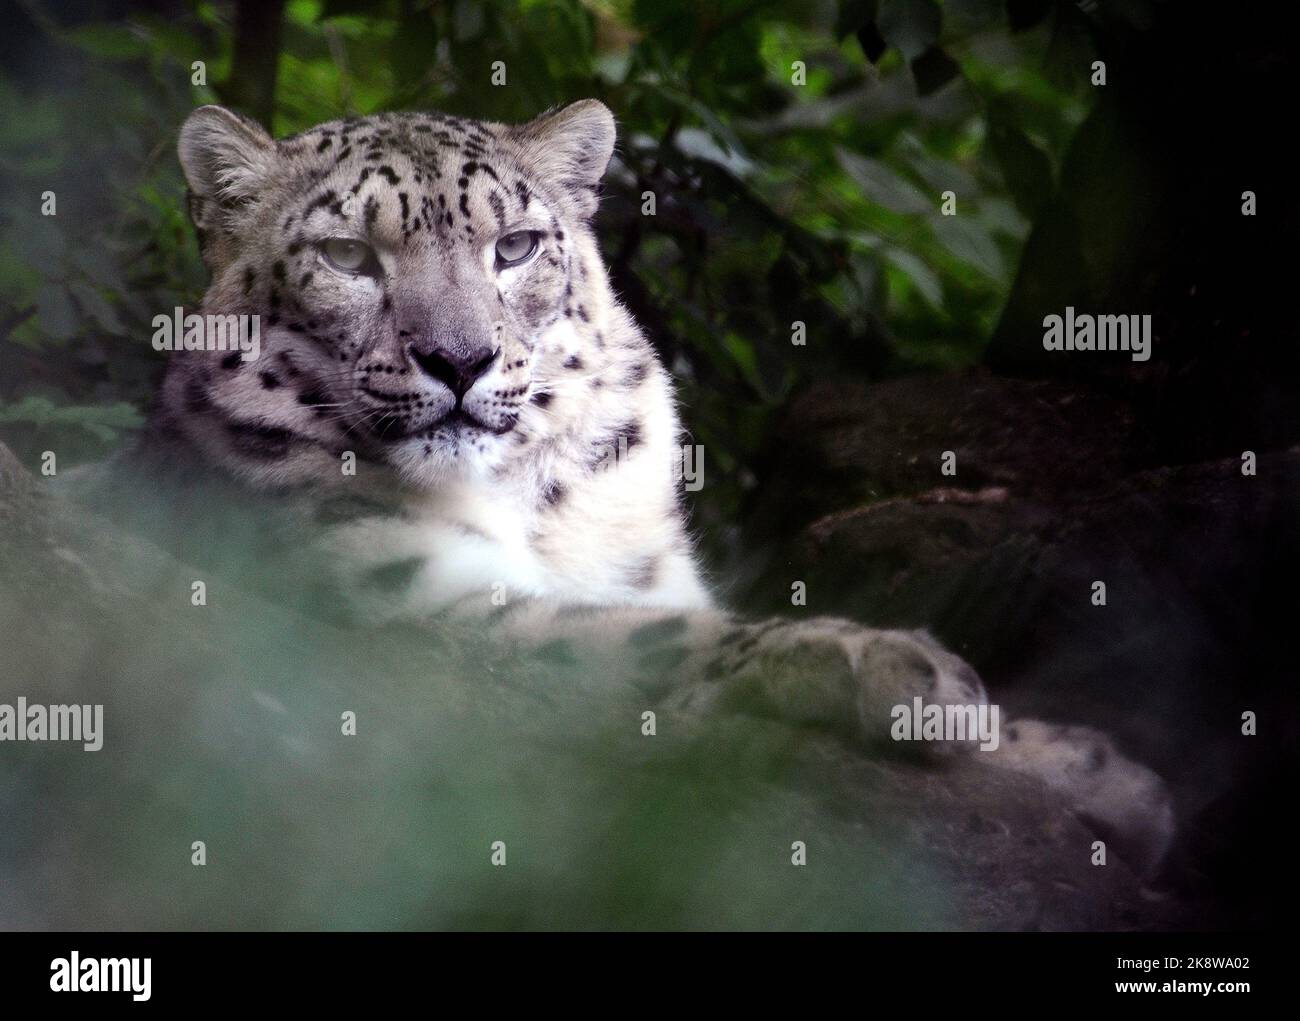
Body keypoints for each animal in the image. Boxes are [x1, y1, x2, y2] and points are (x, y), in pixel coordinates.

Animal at [134, 99, 1174, 877]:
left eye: (515, 246)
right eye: (347, 255)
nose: (460, 360)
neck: (534, 511)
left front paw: (1103, 772)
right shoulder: (410, 596)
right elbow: (655, 633)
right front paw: (897, 665)